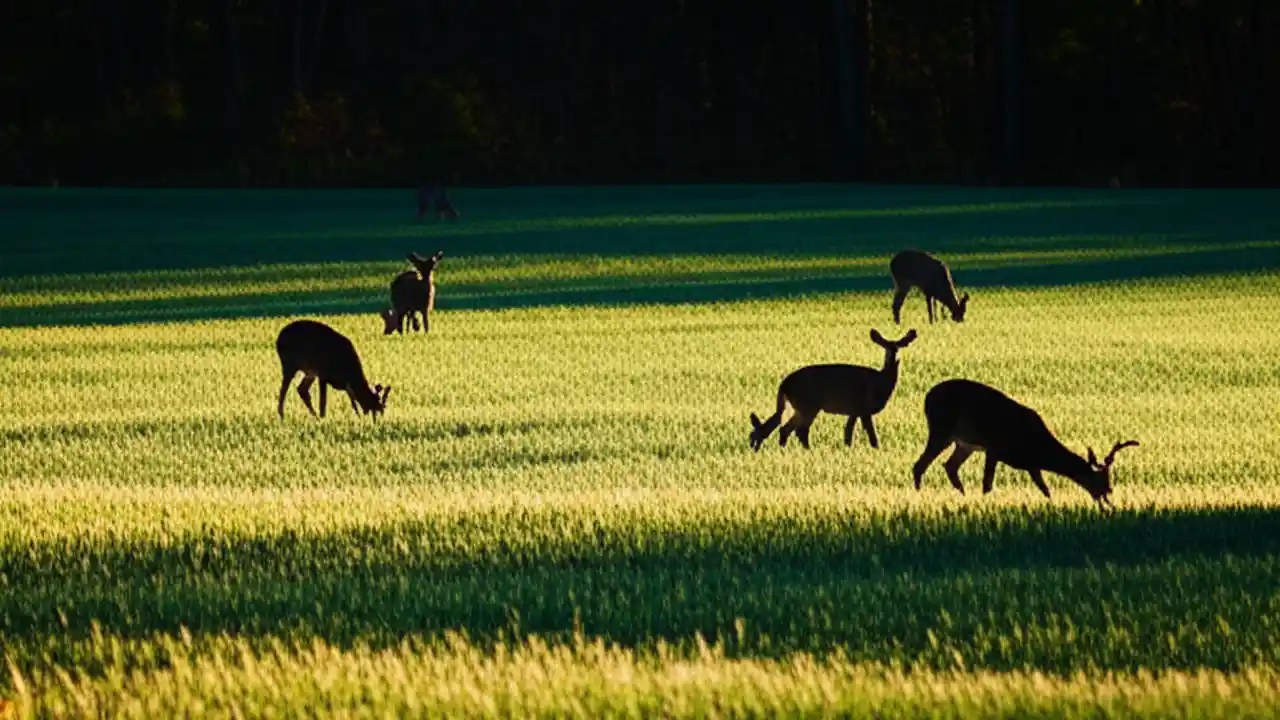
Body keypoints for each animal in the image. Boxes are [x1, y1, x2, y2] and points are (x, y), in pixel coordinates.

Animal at [750, 329, 918, 451]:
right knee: (799, 430)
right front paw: (877, 448)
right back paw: (807, 450)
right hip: (808, 403)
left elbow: (848, 433)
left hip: (802, 406)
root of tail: (783, 384)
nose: (894, 356)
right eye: (884, 346)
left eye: (900, 346)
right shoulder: (864, 407)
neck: (882, 381)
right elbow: (871, 434)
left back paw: (785, 449)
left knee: (787, 429)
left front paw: (848, 449)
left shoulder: (855, 409)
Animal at [911, 378, 1139, 510]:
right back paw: (919, 497)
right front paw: (986, 503)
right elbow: (987, 484)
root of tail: (927, 396)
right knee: (919, 465)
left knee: (949, 466)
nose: (1109, 492)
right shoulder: (995, 448)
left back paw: (962, 496)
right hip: (942, 429)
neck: (1038, 448)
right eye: (1098, 478)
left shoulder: (1032, 465)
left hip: (964, 444)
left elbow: (1045, 489)